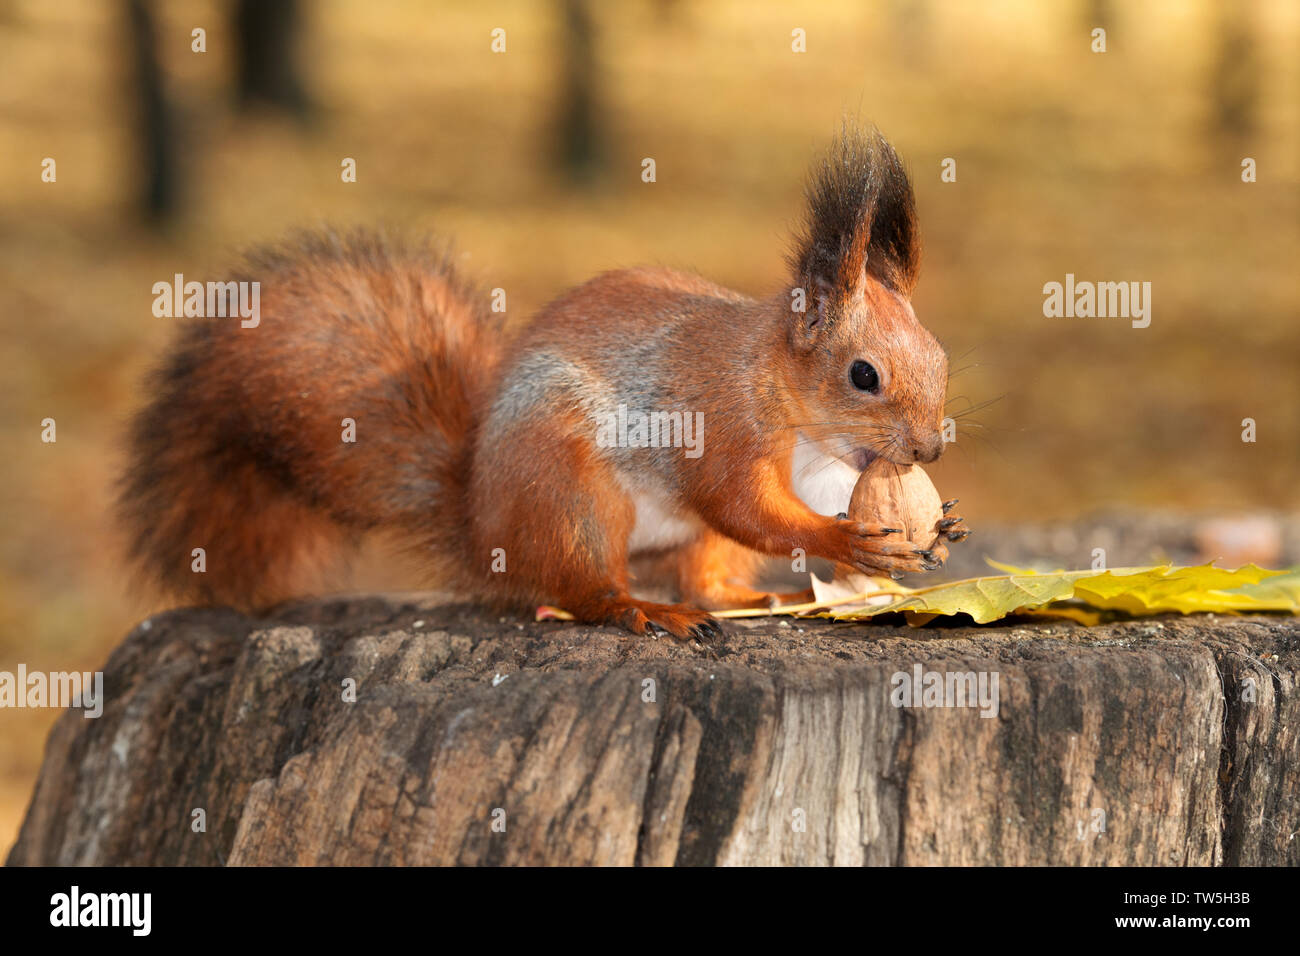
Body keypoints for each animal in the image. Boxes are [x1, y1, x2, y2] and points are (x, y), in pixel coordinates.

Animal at [118, 125, 968, 643]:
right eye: (864, 375)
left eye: (939, 357)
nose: (930, 449)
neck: (796, 413)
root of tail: (481, 525)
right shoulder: (719, 422)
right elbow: (744, 505)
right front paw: (839, 540)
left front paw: (937, 530)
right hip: (568, 490)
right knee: (584, 588)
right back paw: (643, 609)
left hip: (672, 538)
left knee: (707, 579)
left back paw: (765, 598)